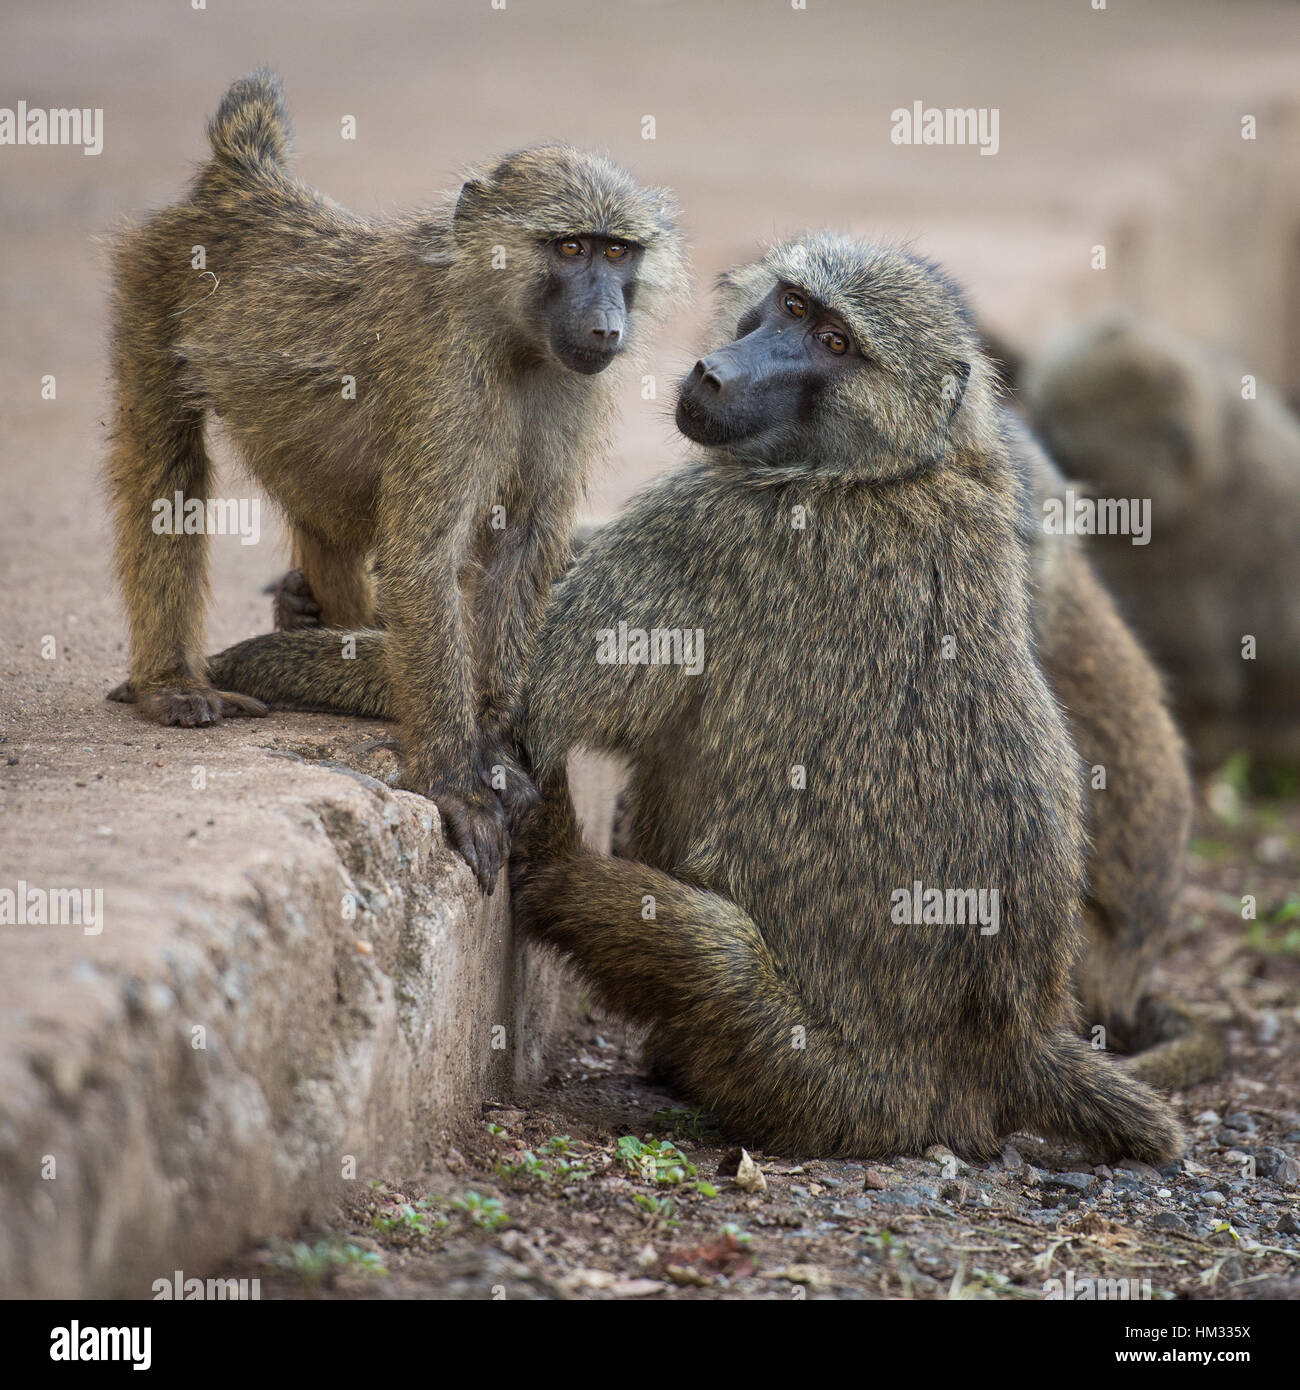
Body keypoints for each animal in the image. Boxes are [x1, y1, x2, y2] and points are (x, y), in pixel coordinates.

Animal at [103, 69, 688, 892]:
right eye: (570, 247)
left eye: (618, 251)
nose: (606, 324)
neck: (508, 329)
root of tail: (244, 184)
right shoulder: (447, 375)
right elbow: (424, 561)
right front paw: (454, 781)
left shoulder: (569, 386)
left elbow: (521, 547)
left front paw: (496, 750)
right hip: (154, 285)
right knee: (166, 464)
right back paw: (171, 684)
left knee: (322, 518)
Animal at [207, 236, 1187, 1162]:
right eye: (791, 306)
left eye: (836, 344)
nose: (719, 371)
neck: (899, 467)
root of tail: (1011, 1050)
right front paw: (317, 605)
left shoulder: (714, 525)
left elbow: (515, 694)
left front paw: (262, 658)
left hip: (822, 1079)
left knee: (713, 950)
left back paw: (554, 855)